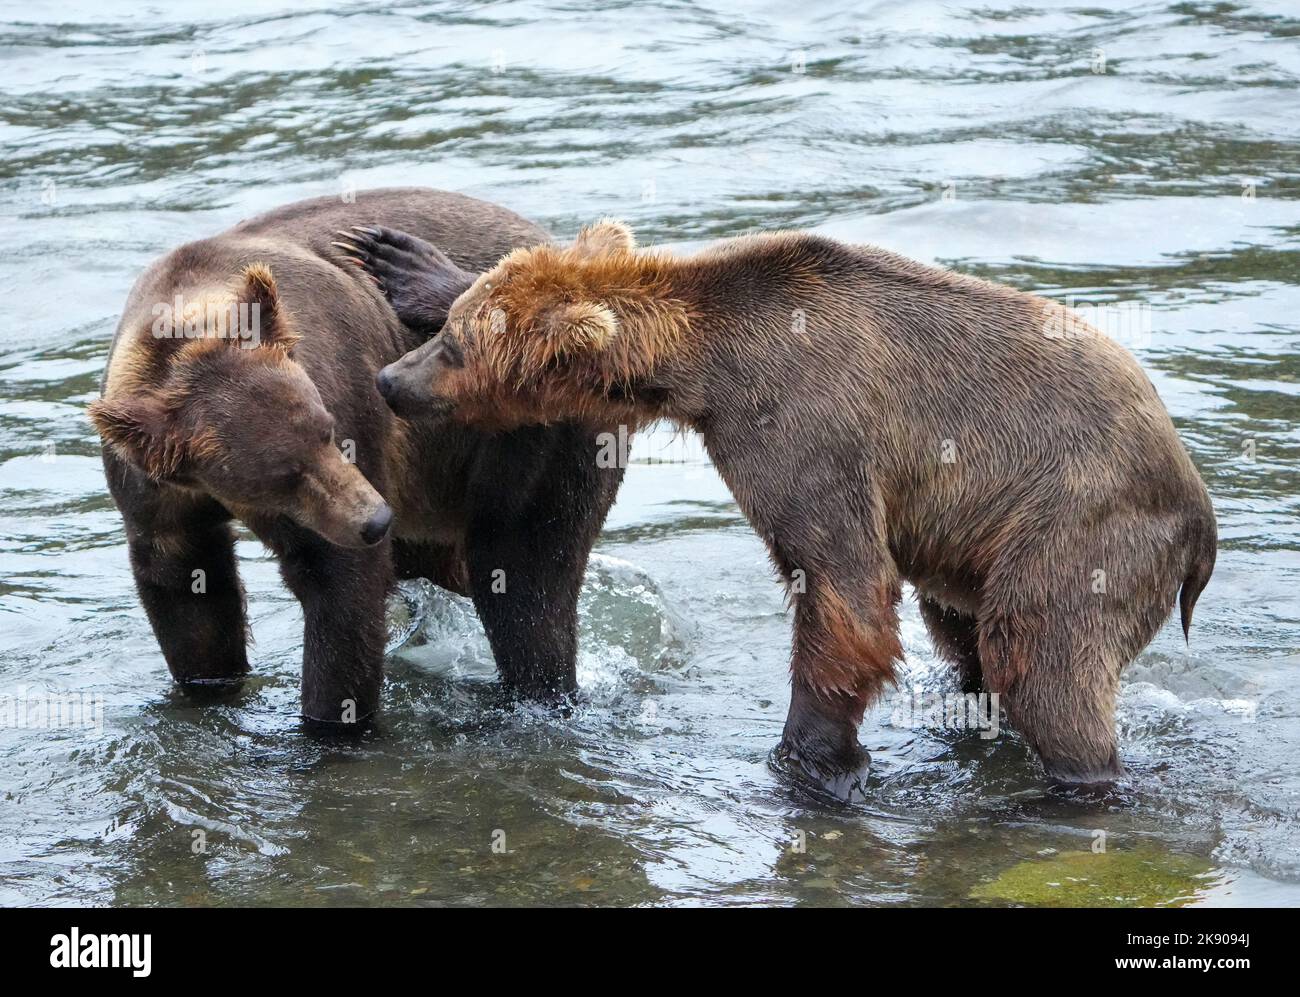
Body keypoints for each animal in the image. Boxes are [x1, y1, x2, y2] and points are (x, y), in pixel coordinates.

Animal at [90, 189, 624, 725]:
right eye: (280, 474)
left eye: (328, 432)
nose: (375, 521)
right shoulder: (154, 493)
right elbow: (188, 594)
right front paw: (209, 686)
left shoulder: (343, 396)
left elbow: (342, 587)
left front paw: (329, 718)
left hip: (522, 432)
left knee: (523, 573)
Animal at [348, 219, 1217, 796]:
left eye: (457, 349)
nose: (391, 379)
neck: (705, 370)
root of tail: (1201, 512)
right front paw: (405, 259)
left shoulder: (803, 428)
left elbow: (843, 587)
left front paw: (808, 755)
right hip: (984, 542)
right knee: (966, 637)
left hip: (1080, 524)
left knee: (1042, 657)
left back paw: (1073, 783)